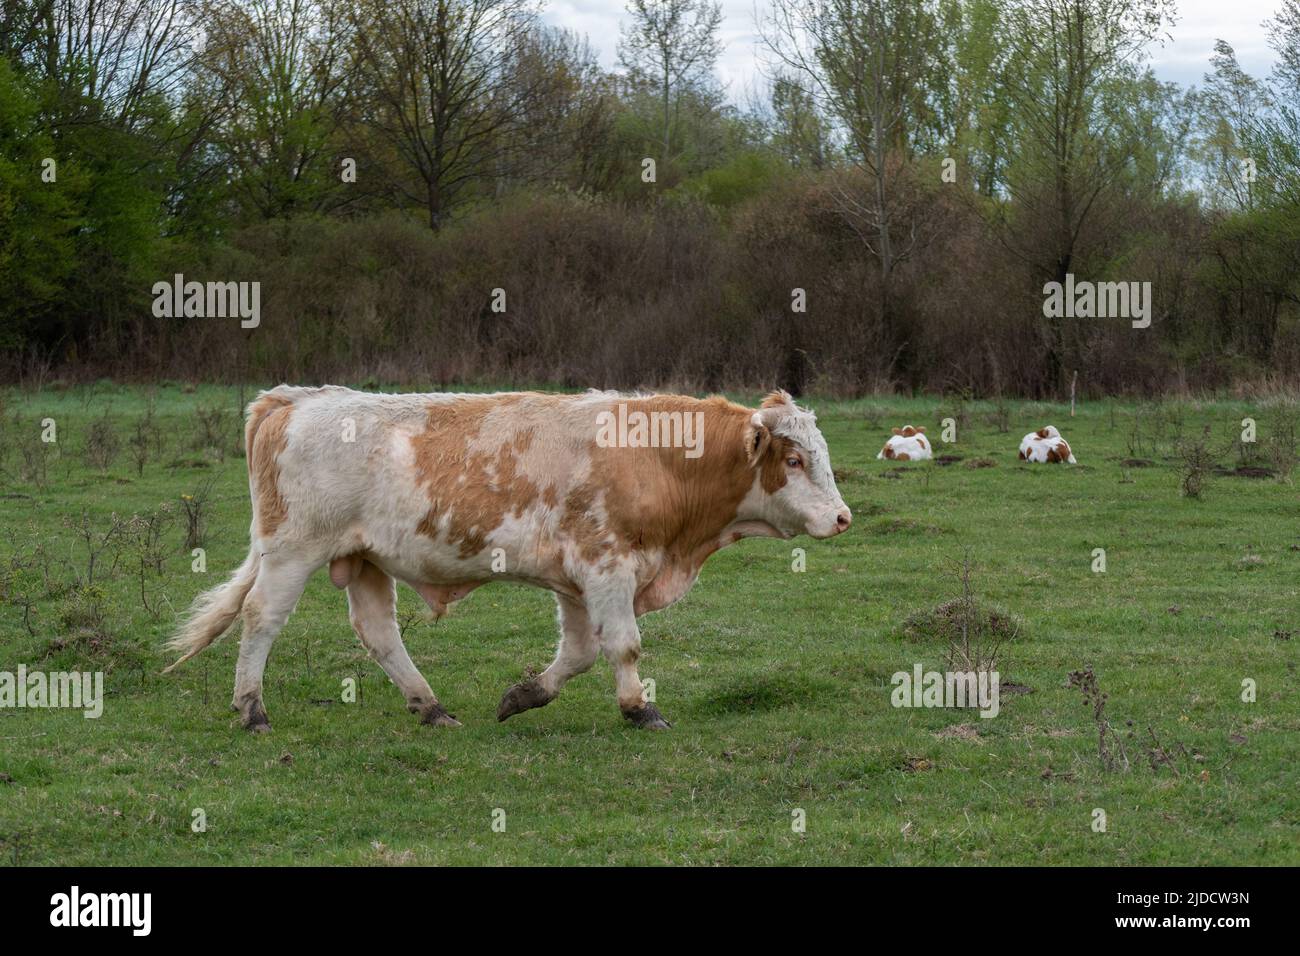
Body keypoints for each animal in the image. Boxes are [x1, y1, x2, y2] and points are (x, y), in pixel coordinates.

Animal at [164, 386, 851, 732]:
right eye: (795, 460)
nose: (843, 517)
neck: (654, 456)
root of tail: (295, 397)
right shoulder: (607, 566)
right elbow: (624, 645)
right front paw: (640, 708)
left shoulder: (577, 581)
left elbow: (579, 653)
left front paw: (524, 695)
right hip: (292, 550)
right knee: (261, 618)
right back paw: (252, 709)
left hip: (363, 559)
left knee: (379, 633)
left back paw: (430, 707)